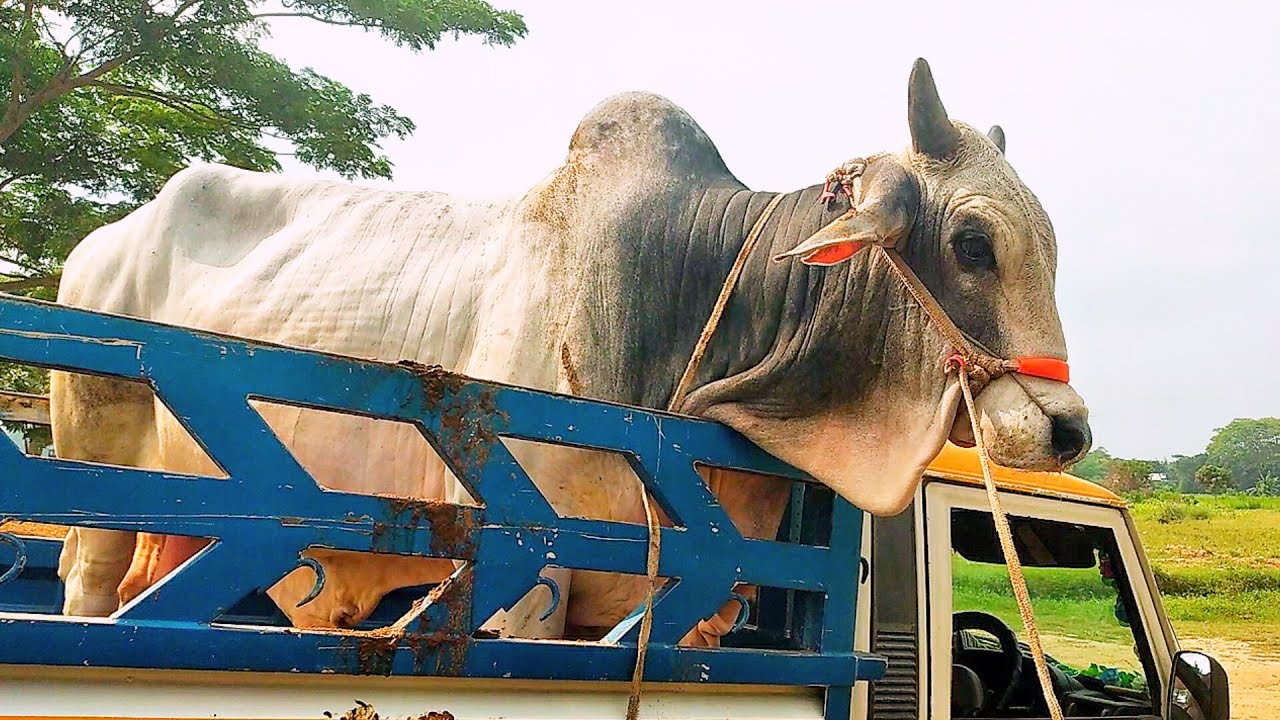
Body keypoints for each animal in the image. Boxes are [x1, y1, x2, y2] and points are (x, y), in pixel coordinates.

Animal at [51, 58, 1089, 644]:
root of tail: (106, 237)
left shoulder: (683, 607)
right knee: (89, 589)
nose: (1069, 430)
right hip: (96, 468)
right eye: (972, 244)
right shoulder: (528, 581)